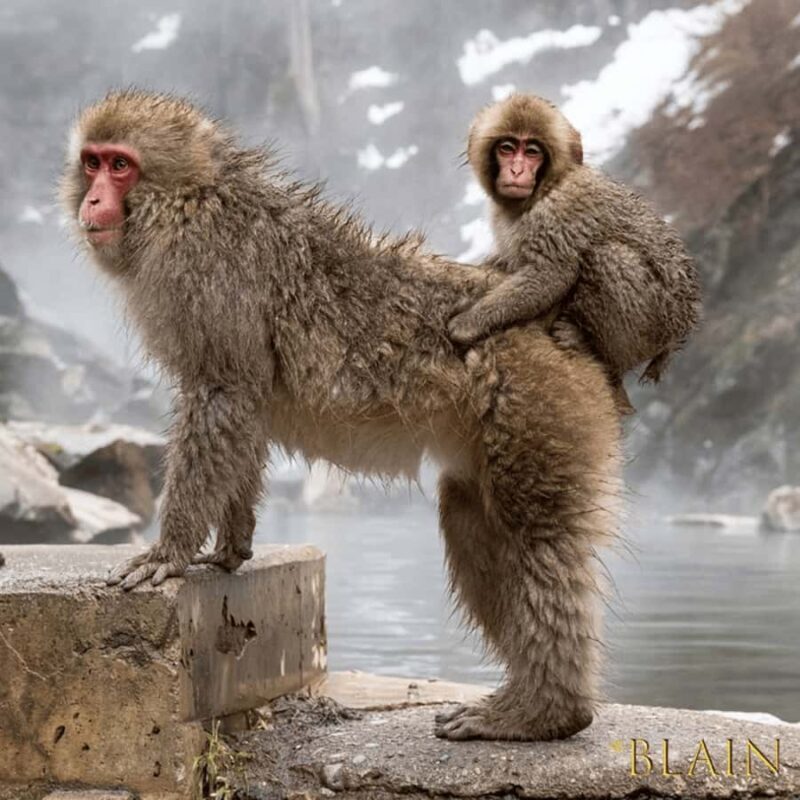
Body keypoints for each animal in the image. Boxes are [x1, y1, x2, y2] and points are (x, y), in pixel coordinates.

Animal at [62, 90, 622, 743]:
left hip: (538, 403)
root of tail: (568, 333)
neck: (190, 201)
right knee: (471, 517)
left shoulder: (206, 273)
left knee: (536, 537)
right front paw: (231, 547)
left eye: (120, 165)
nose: (93, 199)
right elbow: (247, 408)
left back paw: (546, 713)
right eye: (93, 162)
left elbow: (225, 391)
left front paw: (169, 552)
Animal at [449, 93, 701, 411]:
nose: (517, 171)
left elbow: (551, 274)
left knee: (610, 257)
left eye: (532, 152)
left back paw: (595, 349)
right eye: (507, 148)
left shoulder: (556, 212)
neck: (545, 189)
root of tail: (680, 331)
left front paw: (469, 322)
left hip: (656, 324)